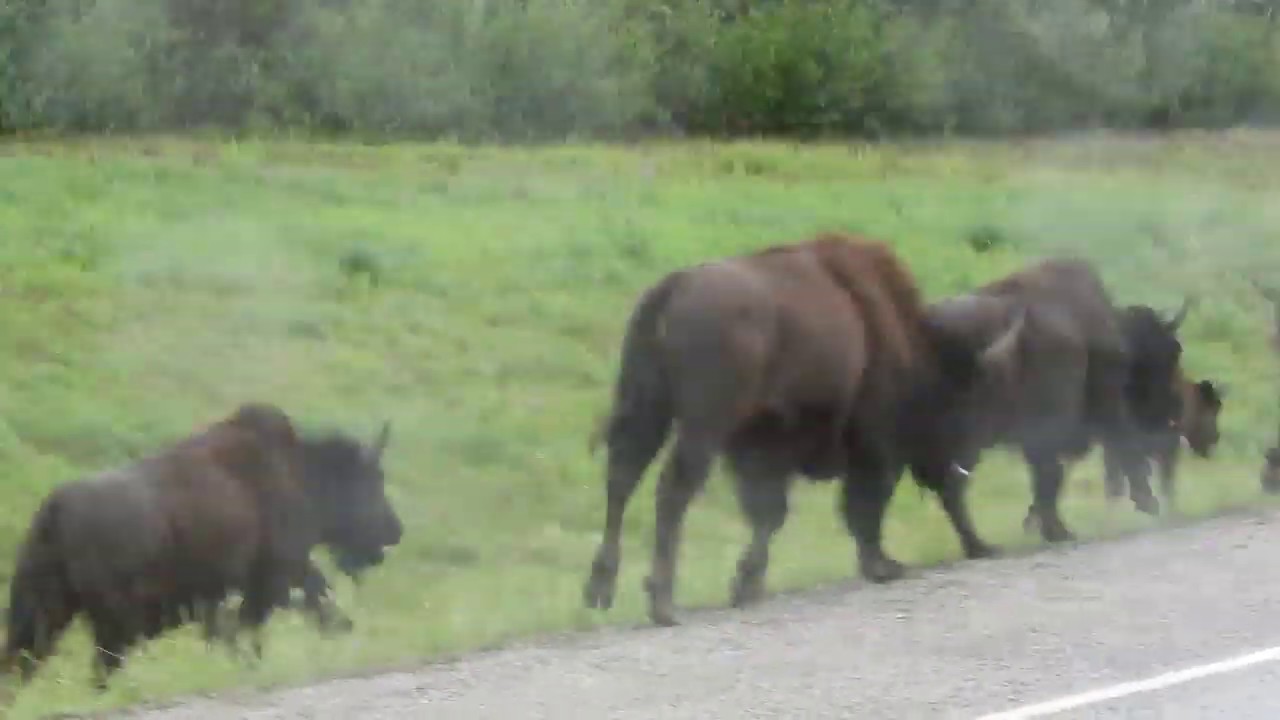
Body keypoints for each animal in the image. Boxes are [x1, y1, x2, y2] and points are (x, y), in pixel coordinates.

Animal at [1, 403, 403, 688]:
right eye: (372, 478)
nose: (394, 531)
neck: (300, 472)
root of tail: (54, 510)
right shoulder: (271, 580)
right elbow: (256, 629)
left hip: (46, 616)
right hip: (113, 626)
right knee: (98, 668)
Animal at [582, 233, 1023, 627]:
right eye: (961, 401)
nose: (958, 468)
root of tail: (673, 286)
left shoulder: (762, 448)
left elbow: (770, 513)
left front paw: (747, 584)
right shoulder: (869, 442)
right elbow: (862, 502)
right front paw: (882, 566)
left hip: (646, 409)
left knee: (621, 479)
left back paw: (601, 589)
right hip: (701, 427)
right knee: (671, 491)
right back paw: (663, 604)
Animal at [921, 259, 1189, 543]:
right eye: (1169, 353)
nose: (1174, 407)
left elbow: (1048, 478)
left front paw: (1043, 526)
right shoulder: (1101, 407)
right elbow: (1119, 450)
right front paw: (1147, 502)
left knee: (951, 487)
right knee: (955, 486)